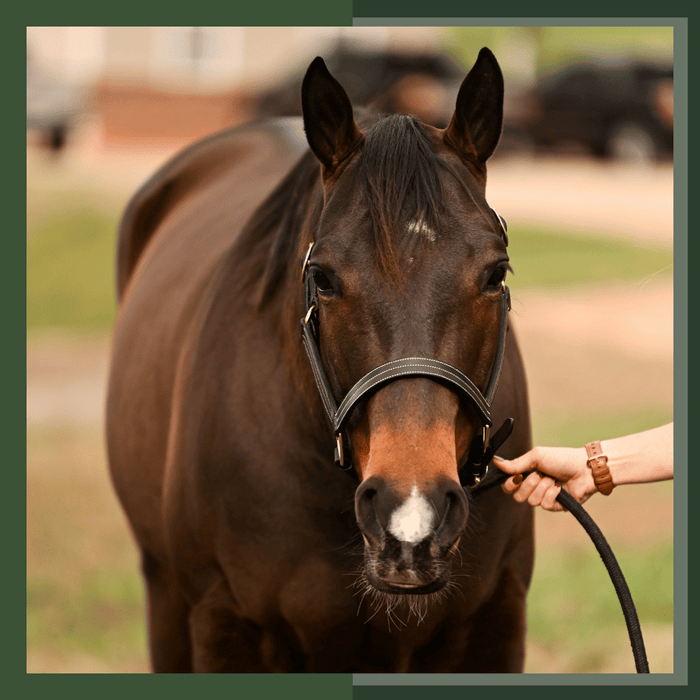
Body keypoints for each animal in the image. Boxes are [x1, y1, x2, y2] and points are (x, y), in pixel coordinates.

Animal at [106, 48, 534, 673]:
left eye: (495, 274)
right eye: (324, 279)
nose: (412, 517)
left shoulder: (494, 623)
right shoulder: (225, 623)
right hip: (164, 593)